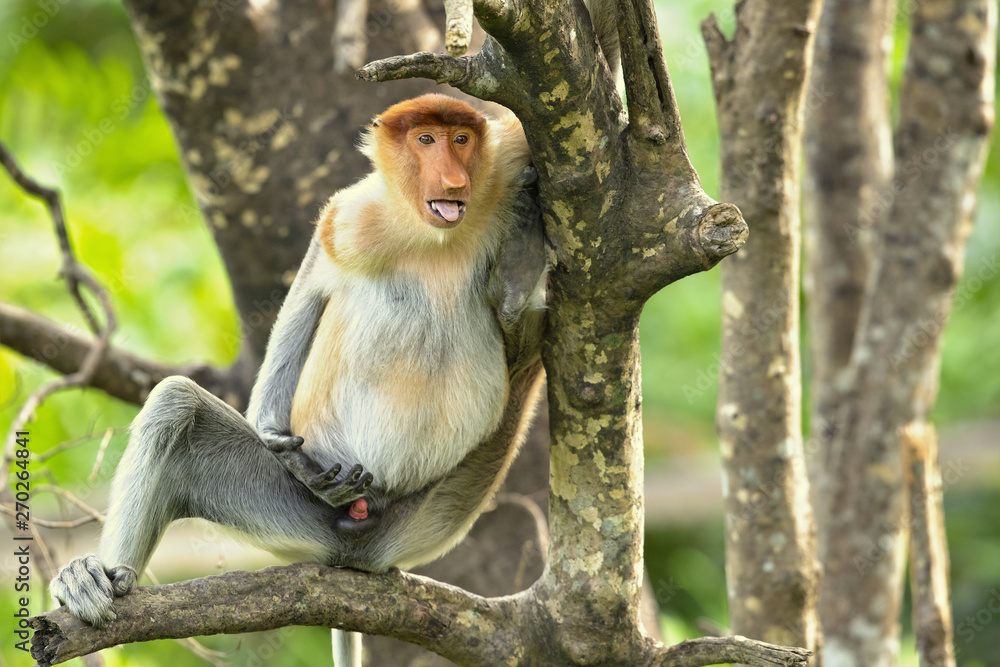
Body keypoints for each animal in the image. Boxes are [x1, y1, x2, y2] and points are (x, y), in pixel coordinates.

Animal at [49, 95, 548, 665]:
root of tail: (358, 539)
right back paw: (100, 579)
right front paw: (282, 445)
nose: (454, 178)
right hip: (301, 509)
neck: (433, 233)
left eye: (461, 140)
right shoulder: (349, 217)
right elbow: (308, 293)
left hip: (433, 511)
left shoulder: (502, 159)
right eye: (426, 139)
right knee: (176, 403)